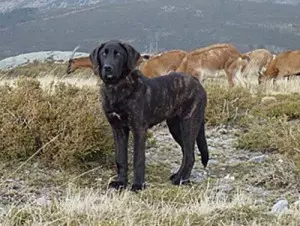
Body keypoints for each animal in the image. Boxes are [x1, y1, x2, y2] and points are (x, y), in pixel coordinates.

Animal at [89, 40, 209, 191]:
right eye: (103, 54)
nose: (107, 68)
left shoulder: (139, 129)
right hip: (175, 127)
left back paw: (181, 180)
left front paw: (138, 185)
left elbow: (138, 159)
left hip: (189, 123)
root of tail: (197, 82)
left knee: (190, 155)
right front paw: (121, 183)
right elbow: (120, 159)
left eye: (118, 54)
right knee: (186, 152)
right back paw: (178, 175)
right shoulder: (118, 129)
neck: (116, 88)